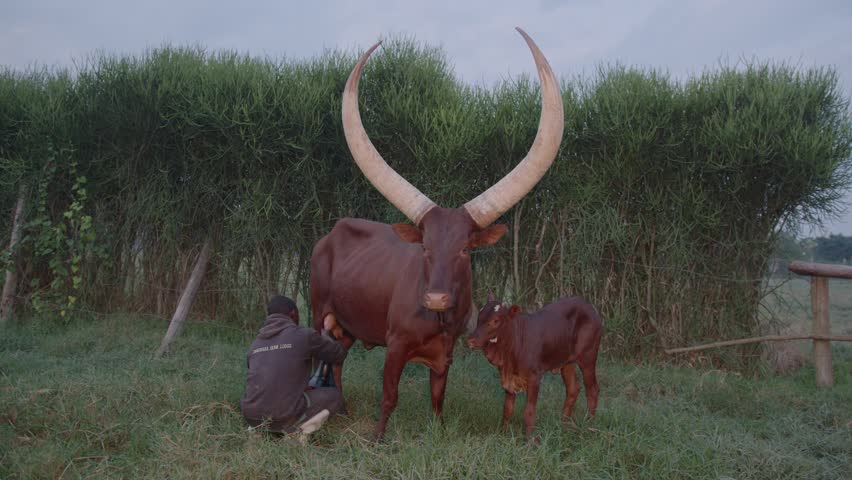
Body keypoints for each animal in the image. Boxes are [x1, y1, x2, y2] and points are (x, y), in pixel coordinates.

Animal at [309, 27, 564, 441]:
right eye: (425, 248)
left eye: (465, 249)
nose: (436, 298)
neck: (437, 322)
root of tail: (329, 236)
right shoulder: (395, 346)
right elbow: (389, 395)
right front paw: (378, 437)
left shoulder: (448, 353)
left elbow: (437, 397)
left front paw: (439, 430)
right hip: (318, 311)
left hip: (345, 326)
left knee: (339, 362)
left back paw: (343, 409)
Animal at [466, 295, 602, 440]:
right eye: (480, 316)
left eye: (495, 320)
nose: (471, 340)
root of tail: (590, 307)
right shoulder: (508, 378)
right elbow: (507, 409)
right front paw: (501, 434)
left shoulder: (534, 377)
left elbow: (529, 413)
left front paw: (530, 441)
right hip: (566, 362)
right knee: (573, 388)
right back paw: (562, 424)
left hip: (588, 356)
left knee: (592, 390)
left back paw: (589, 425)